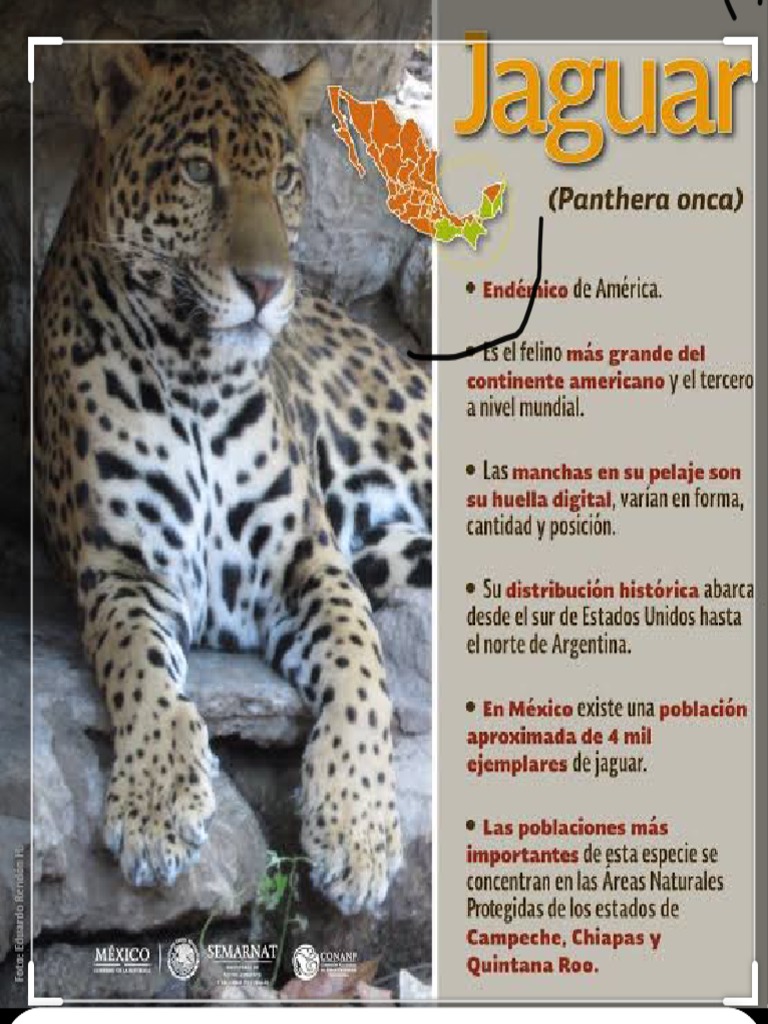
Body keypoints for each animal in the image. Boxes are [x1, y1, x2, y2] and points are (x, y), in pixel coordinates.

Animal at [33, 42, 432, 916]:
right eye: (195, 171)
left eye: (283, 177)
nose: (266, 286)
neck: (198, 378)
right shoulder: (122, 569)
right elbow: (138, 668)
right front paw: (156, 803)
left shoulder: (312, 562)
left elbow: (362, 672)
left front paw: (357, 829)